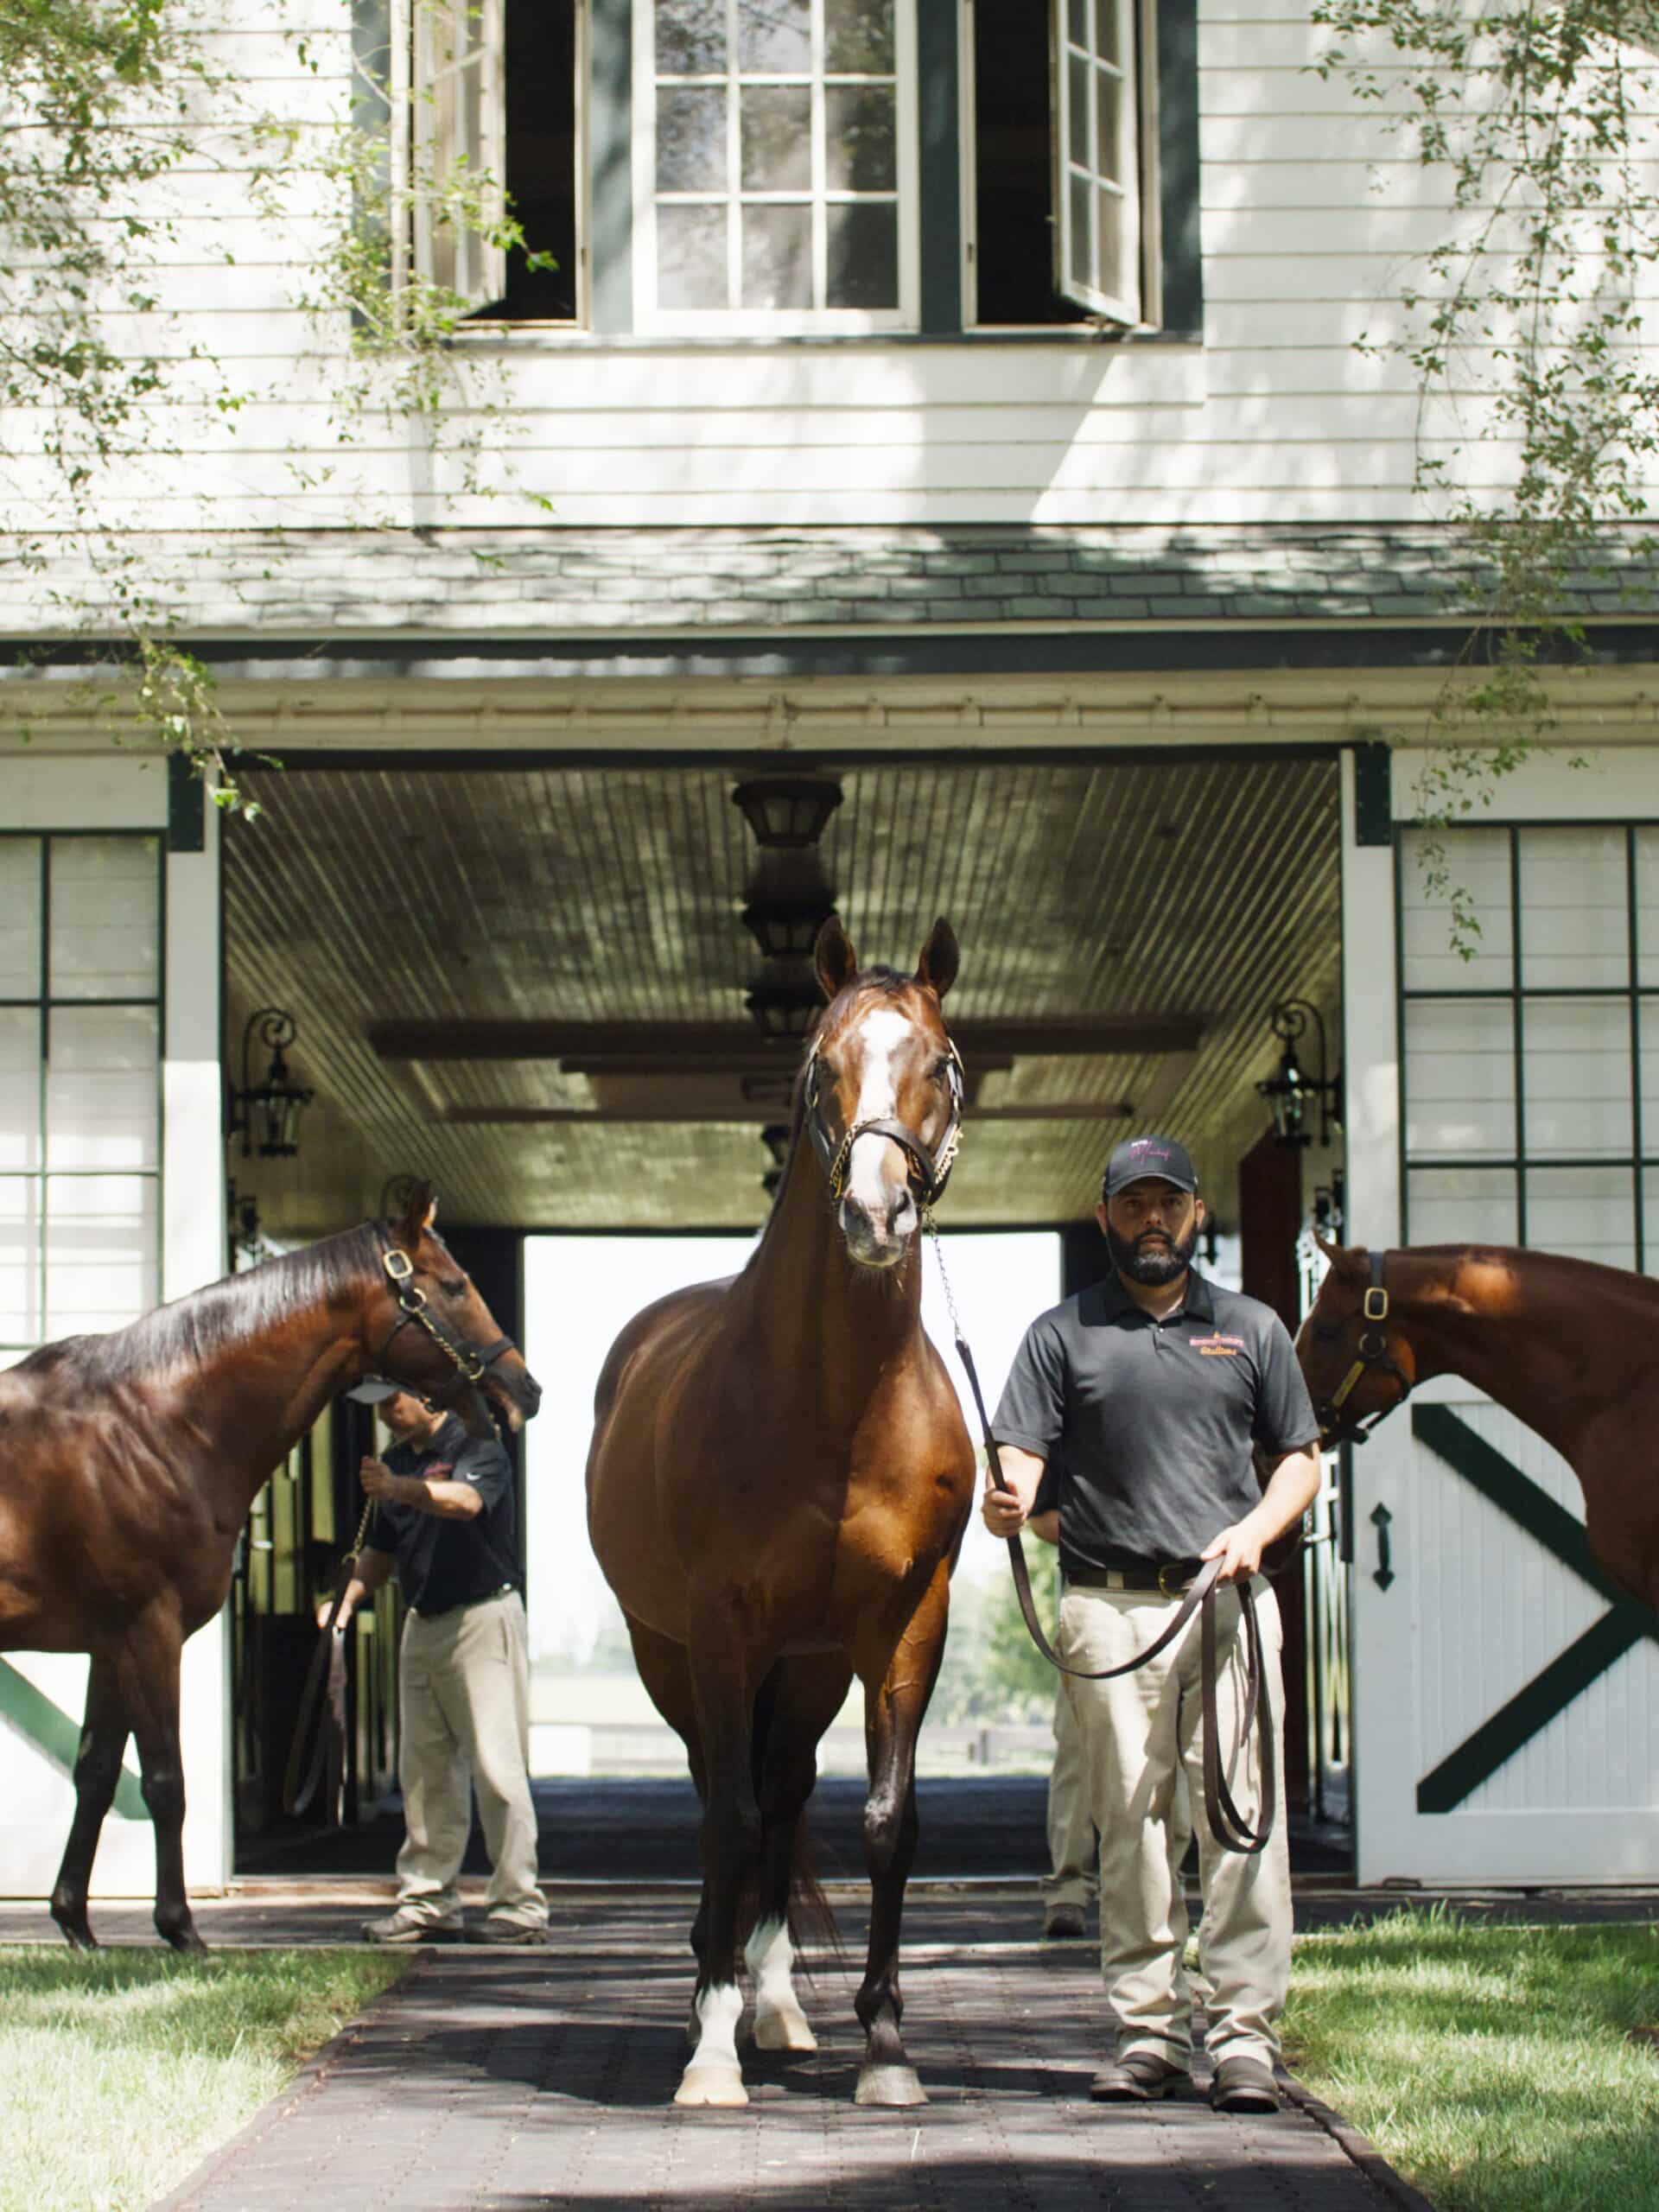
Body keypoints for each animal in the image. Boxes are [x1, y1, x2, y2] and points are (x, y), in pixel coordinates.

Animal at [0, 1180, 540, 1951]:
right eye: (454, 1286)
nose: (524, 1391)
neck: (148, 1427)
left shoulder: (111, 1642)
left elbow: (98, 1774)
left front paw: (75, 1923)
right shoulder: (148, 1633)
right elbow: (164, 1782)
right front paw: (180, 1929)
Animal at [586, 918, 976, 2109]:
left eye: (940, 1061)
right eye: (821, 1065)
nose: (877, 1212)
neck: (839, 1406)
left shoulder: (906, 1625)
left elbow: (888, 1822)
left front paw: (885, 2046)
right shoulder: (722, 1627)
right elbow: (730, 1816)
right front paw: (711, 2052)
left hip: (807, 1670)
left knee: (790, 1790)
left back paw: (780, 2007)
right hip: (677, 1657)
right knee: (729, 1793)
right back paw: (714, 1997)